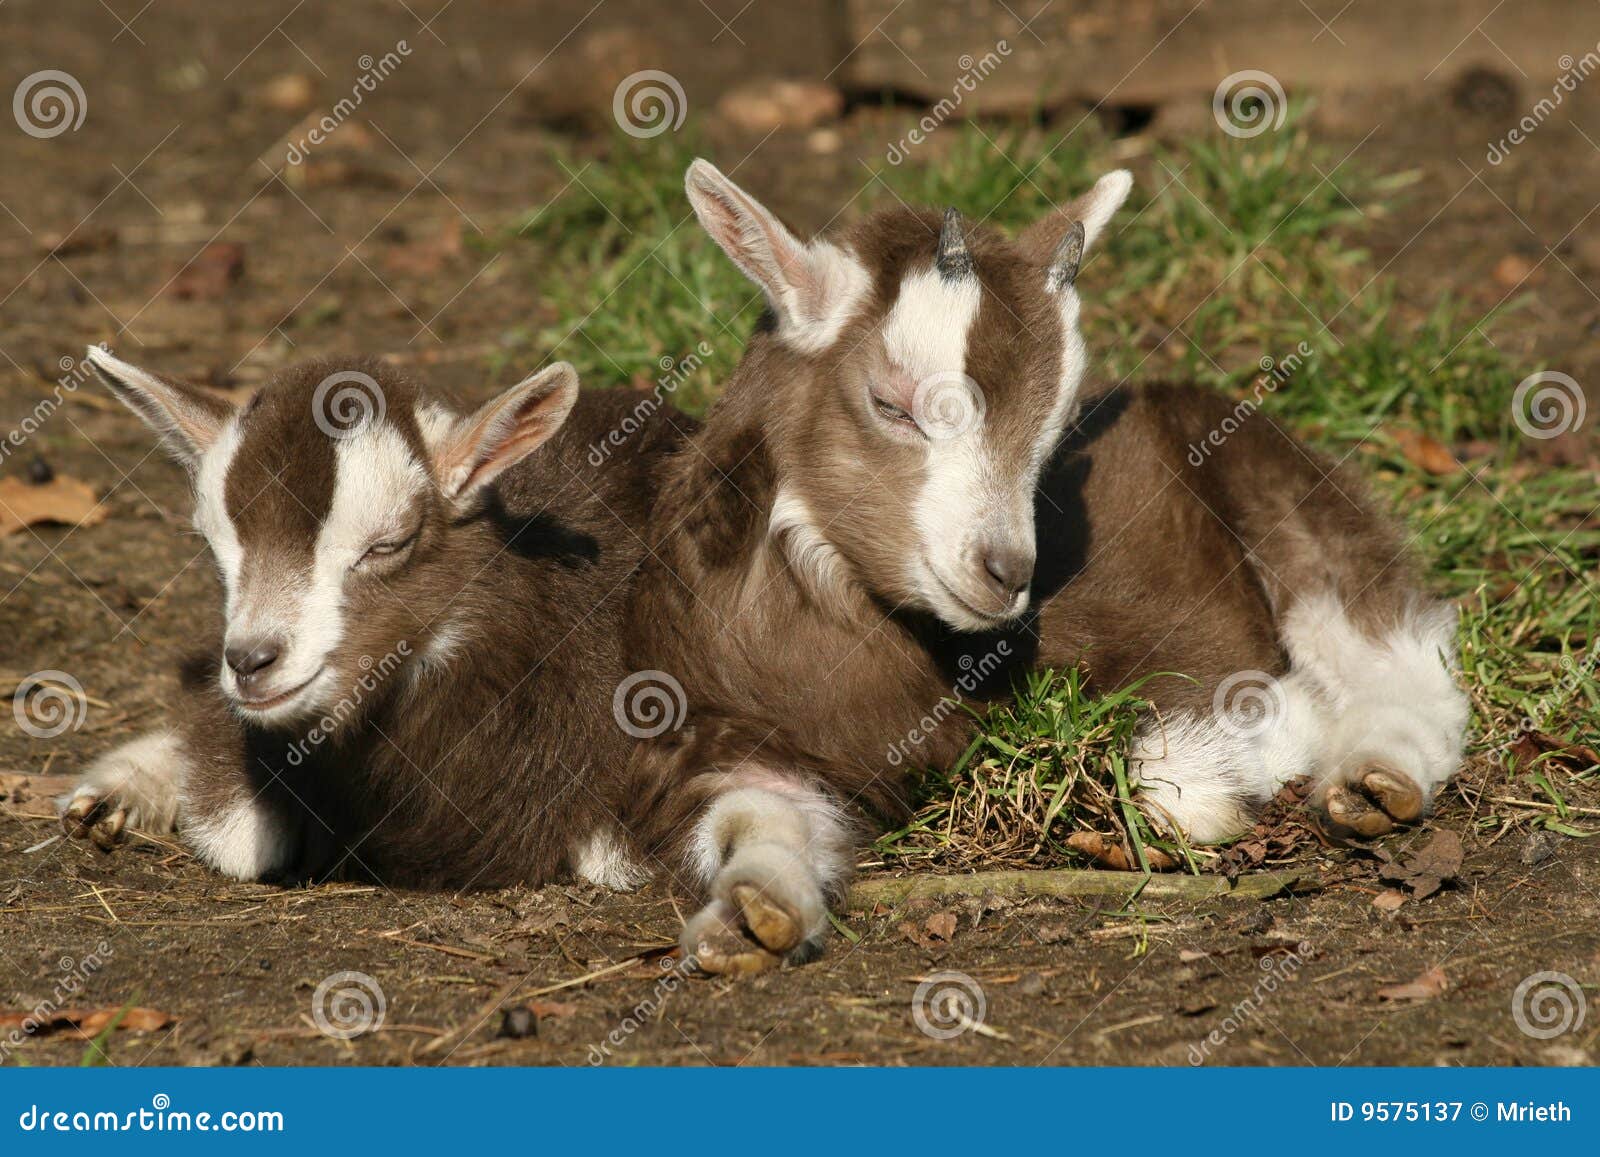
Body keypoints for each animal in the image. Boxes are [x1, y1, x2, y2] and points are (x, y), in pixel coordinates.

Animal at [620, 160, 1470, 974]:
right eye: (890, 405)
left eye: (1055, 428)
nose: (1006, 573)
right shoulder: (718, 731)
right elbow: (751, 812)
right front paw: (749, 919)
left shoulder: (1202, 641)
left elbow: (1176, 770)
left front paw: (1270, 747)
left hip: (1283, 499)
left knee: (1394, 647)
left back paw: (1373, 775)